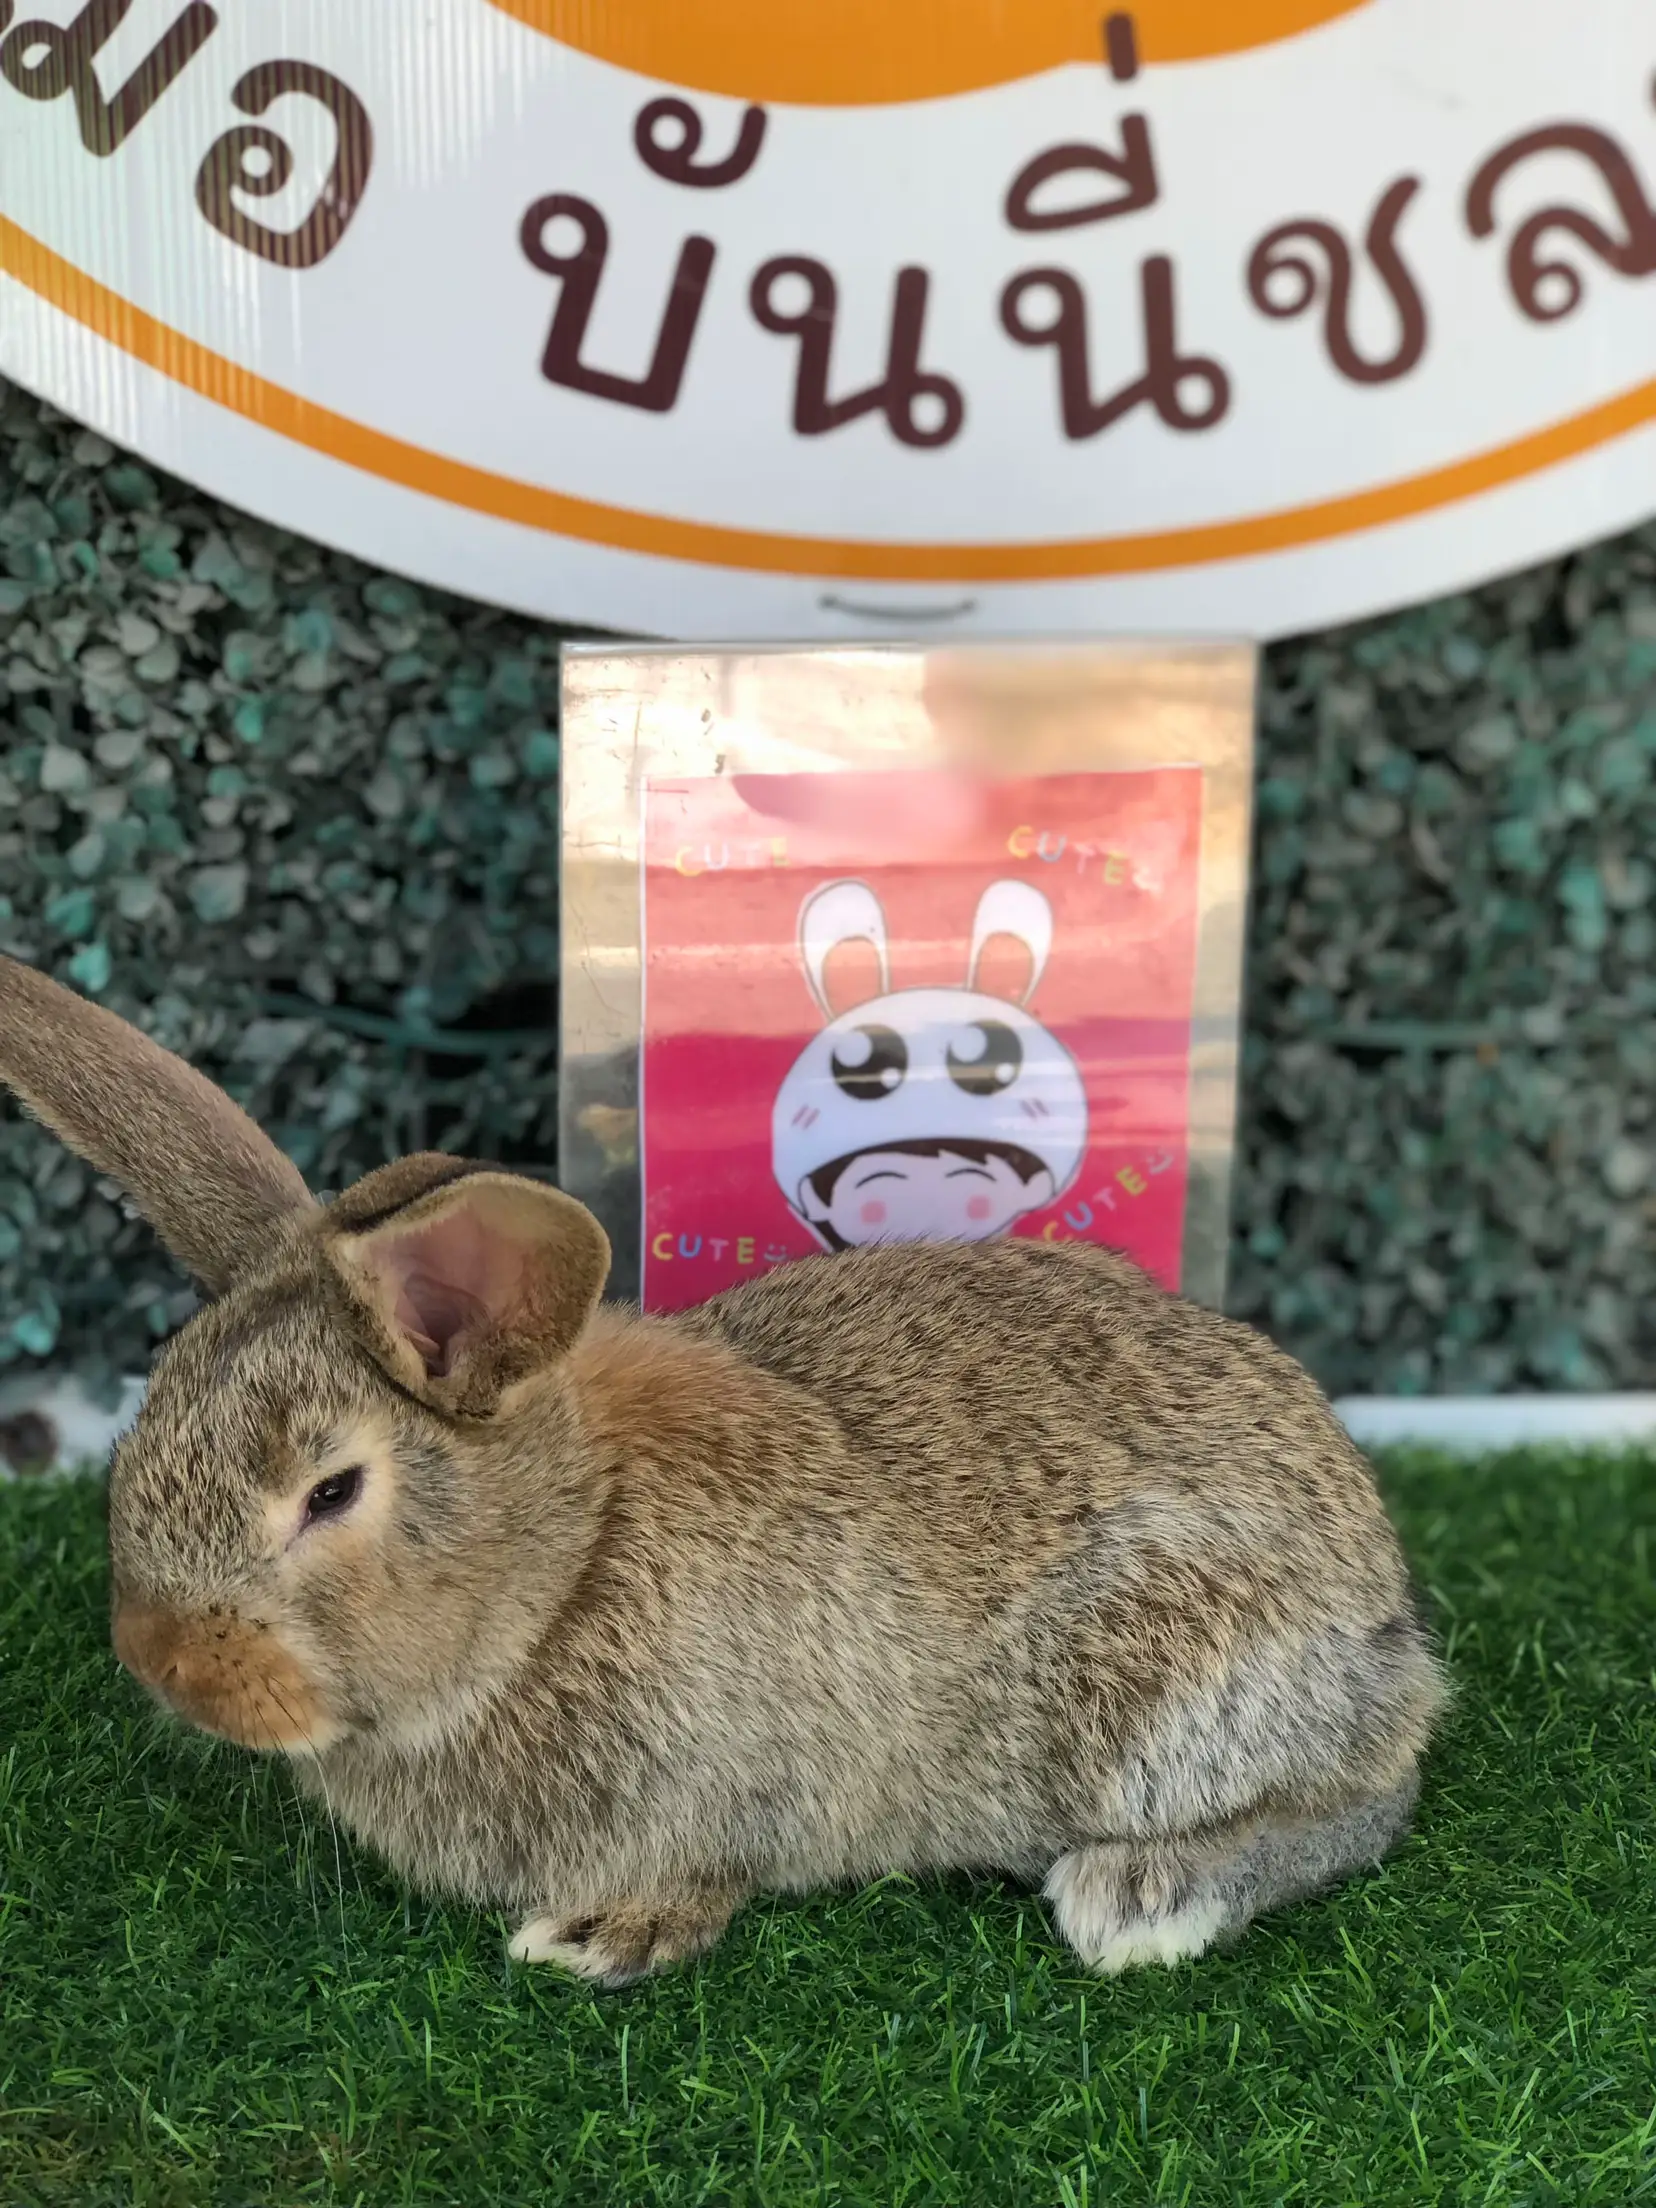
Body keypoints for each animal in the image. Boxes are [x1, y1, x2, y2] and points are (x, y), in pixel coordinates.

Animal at [0, 953, 1446, 1987]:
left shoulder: (735, 1797)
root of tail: (1381, 1609)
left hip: (1163, 1689)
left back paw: (1143, 1897)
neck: (566, 1570)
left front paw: (597, 1942)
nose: (159, 1663)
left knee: (1367, 1796)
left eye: (332, 1494)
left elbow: (708, 1880)